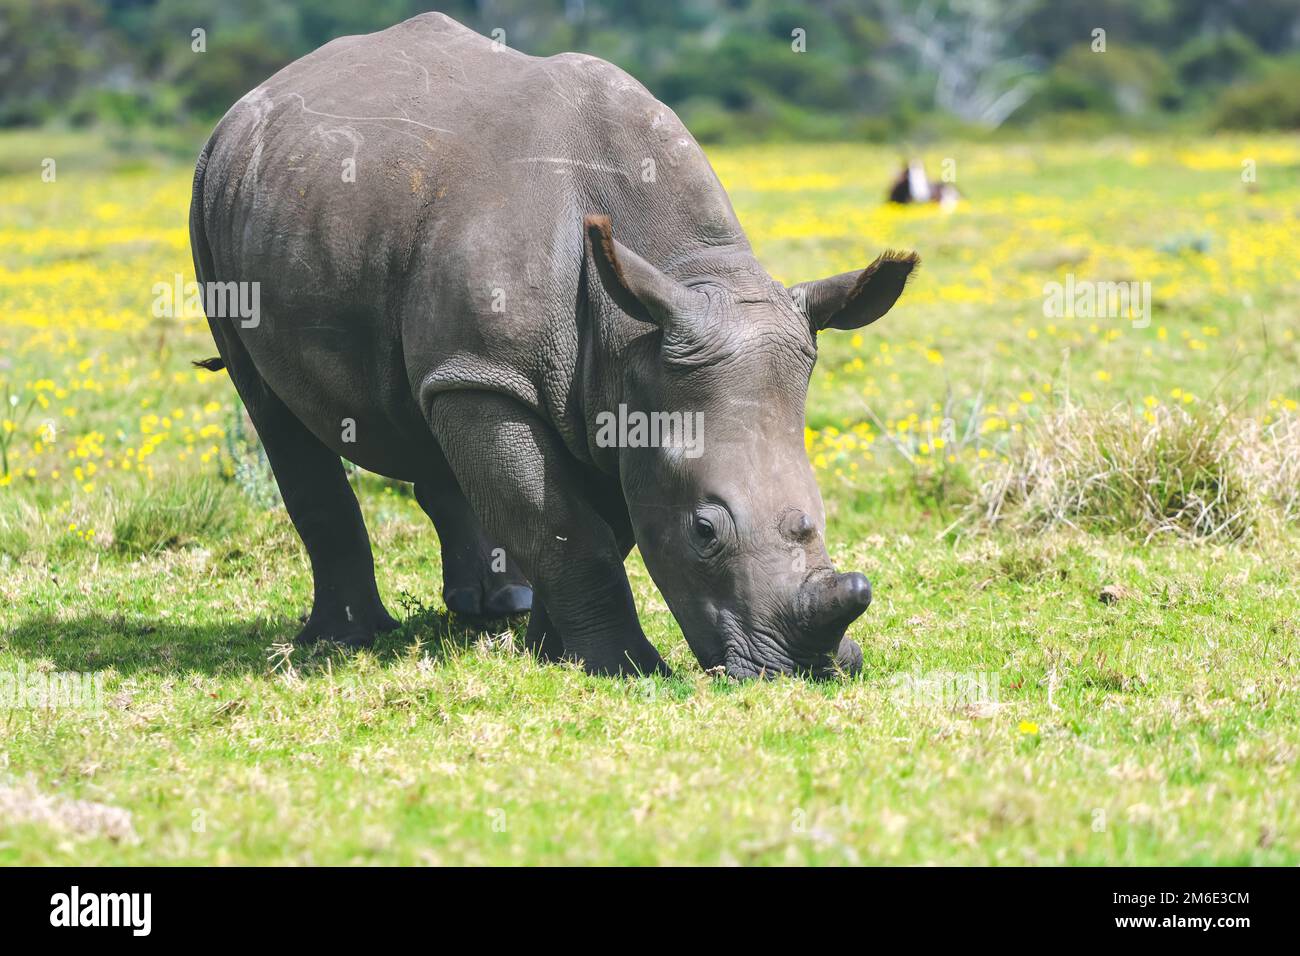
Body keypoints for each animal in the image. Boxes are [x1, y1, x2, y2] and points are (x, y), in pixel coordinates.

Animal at [190, 12, 918, 679]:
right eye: (704, 531)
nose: (810, 670)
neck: (673, 278)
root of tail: (249, 104)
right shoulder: (502, 371)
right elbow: (568, 529)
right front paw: (623, 667)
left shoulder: (624, 376)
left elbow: (588, 524)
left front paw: (550, 650)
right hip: (210, 203)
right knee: (272, 408)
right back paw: (345, 641)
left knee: (429, 406)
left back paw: (492, 613)